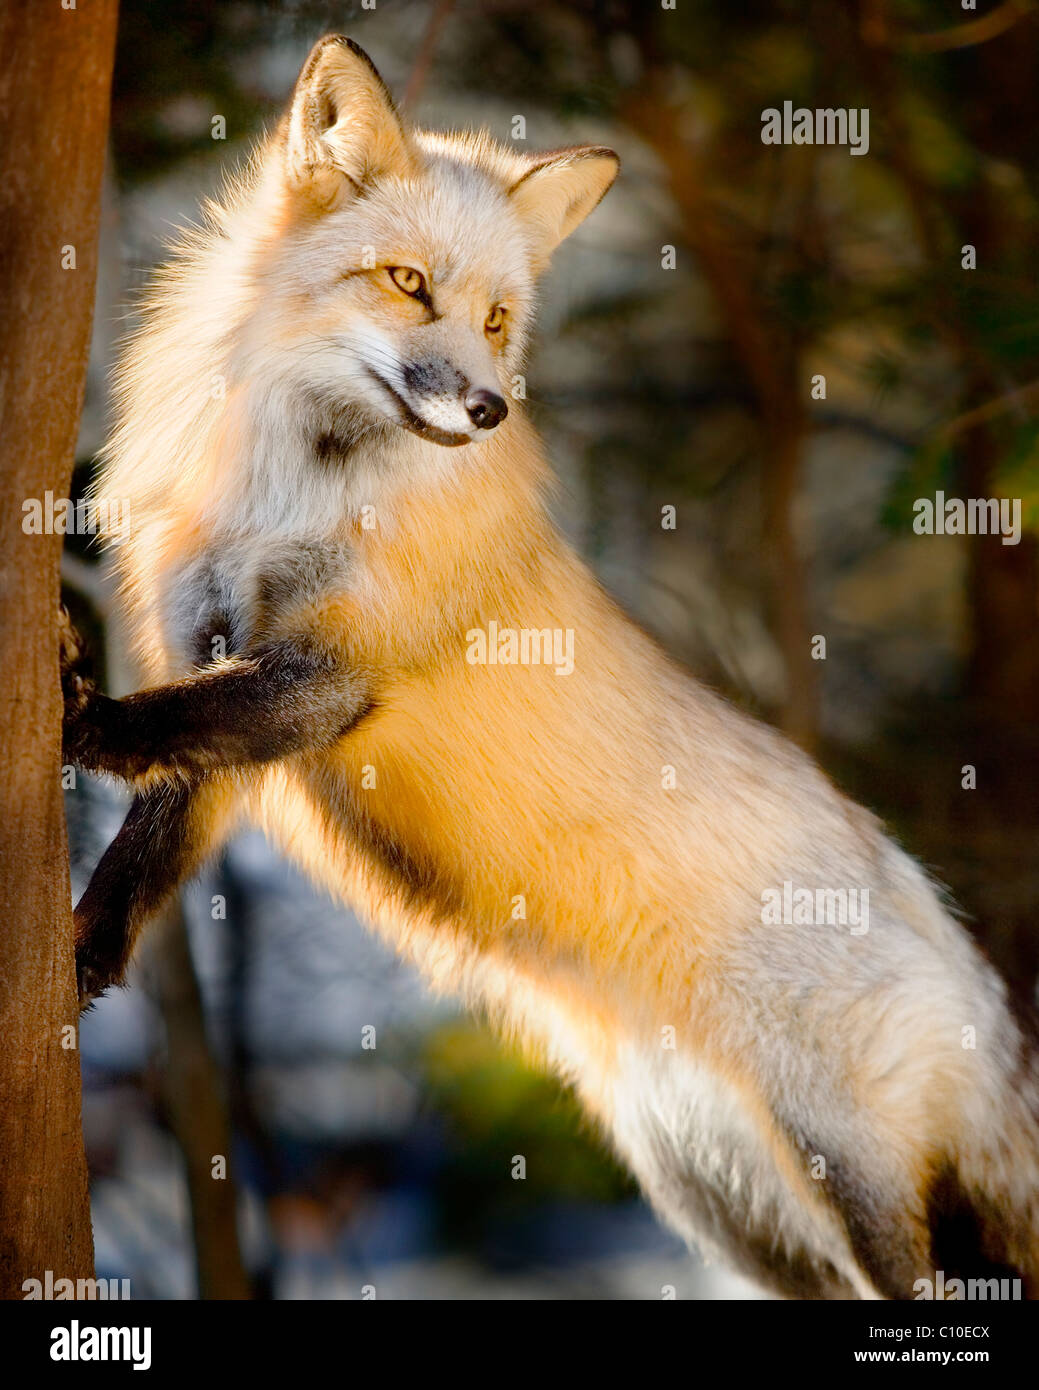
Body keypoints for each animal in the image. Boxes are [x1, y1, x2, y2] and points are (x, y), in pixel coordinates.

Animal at [60, 34, 1039, 1300]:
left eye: (495, 319)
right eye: (406, 283)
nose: (484, 407)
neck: (290, 487)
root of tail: (925, 897)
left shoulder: (333, 670)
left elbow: (162, 725)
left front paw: (77, 722)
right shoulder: (213, 650)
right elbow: (150, 841)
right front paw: (79, 959)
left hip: (849, 1183)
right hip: (730, 1208)